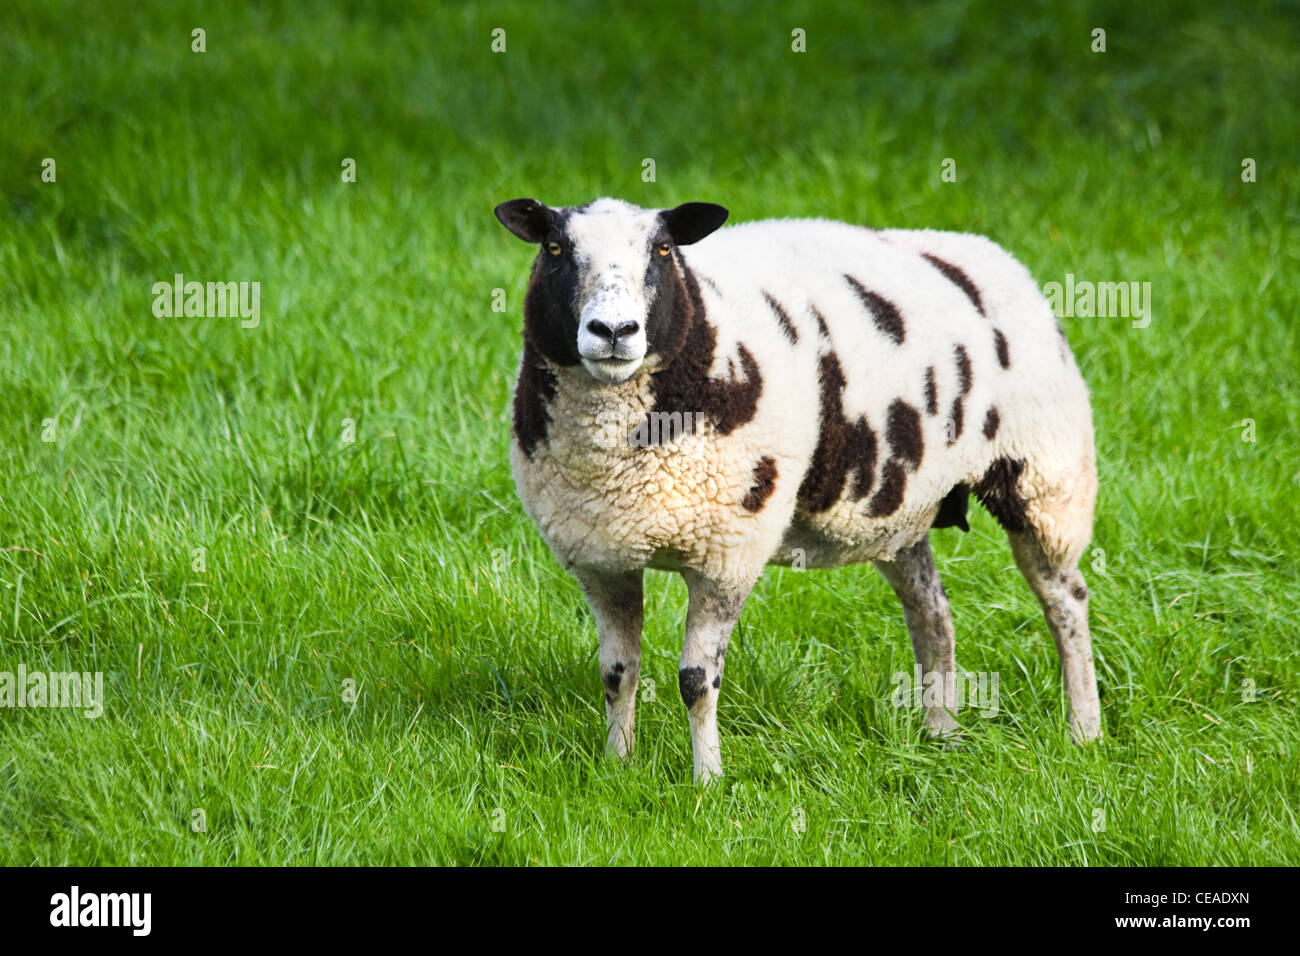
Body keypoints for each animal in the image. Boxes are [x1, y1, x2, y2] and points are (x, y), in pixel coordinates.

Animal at [494, 196, 1101, 784]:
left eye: (664, 250)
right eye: (554, 248)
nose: (614, 332)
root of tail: (997, 256)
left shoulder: (727, 555)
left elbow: (696, 680)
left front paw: (708, 781)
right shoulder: (603, 559)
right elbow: (618, 674)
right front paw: (616, 769)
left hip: (1046, 474)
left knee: (1066, 602)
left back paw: (1084, 730)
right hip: (901, 507)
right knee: (932, 615)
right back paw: (941, 733)